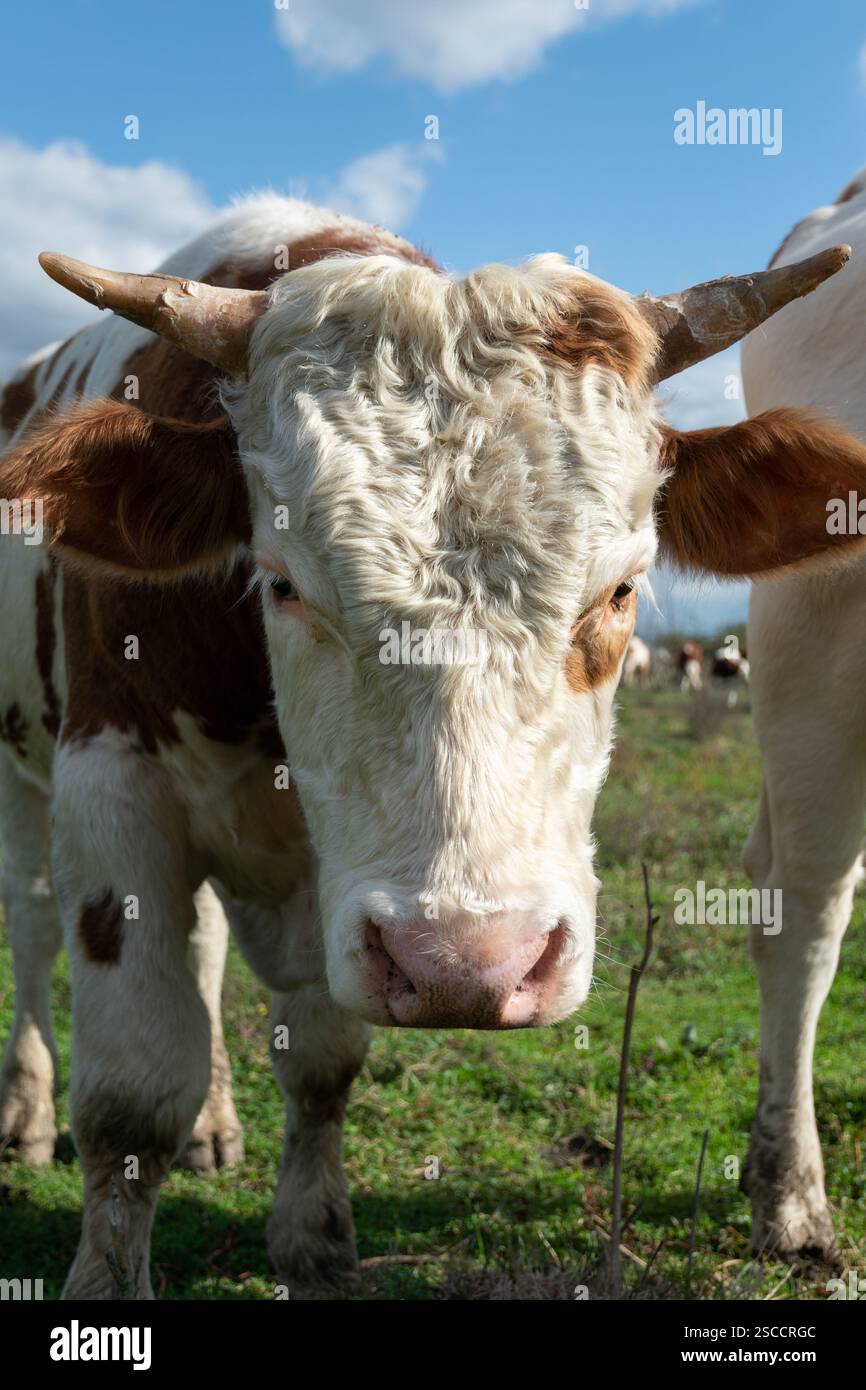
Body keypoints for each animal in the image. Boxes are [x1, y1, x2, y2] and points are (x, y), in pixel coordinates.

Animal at [0, 193, 864, 1299]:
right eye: (281, 580)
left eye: (622, 588)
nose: (468, 966)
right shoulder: (112, 788)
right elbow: (131, 1099)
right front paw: (106, 1280)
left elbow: (319, 1060)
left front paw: (314, 1237)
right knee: (32, 925)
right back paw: (27, 1108)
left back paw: (215, 1129)